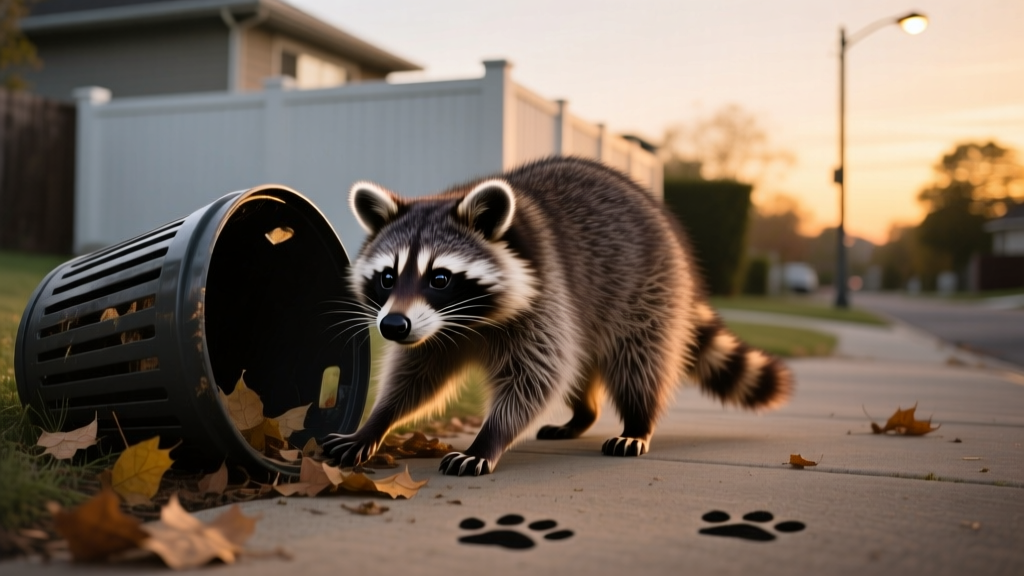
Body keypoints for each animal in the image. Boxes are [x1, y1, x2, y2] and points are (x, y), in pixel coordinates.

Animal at [323, 156, 791, 476]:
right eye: (387, 277)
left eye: (440, 278)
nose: (392, 327)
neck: (468, 321)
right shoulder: (433, 331)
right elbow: (415, 378)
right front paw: (376, 422)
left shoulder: (545, 294)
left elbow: (536, 376)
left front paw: (486, 441)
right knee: (580, 368)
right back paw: (582, 414)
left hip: (646, 291)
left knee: (638, 361)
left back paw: (638, 421)